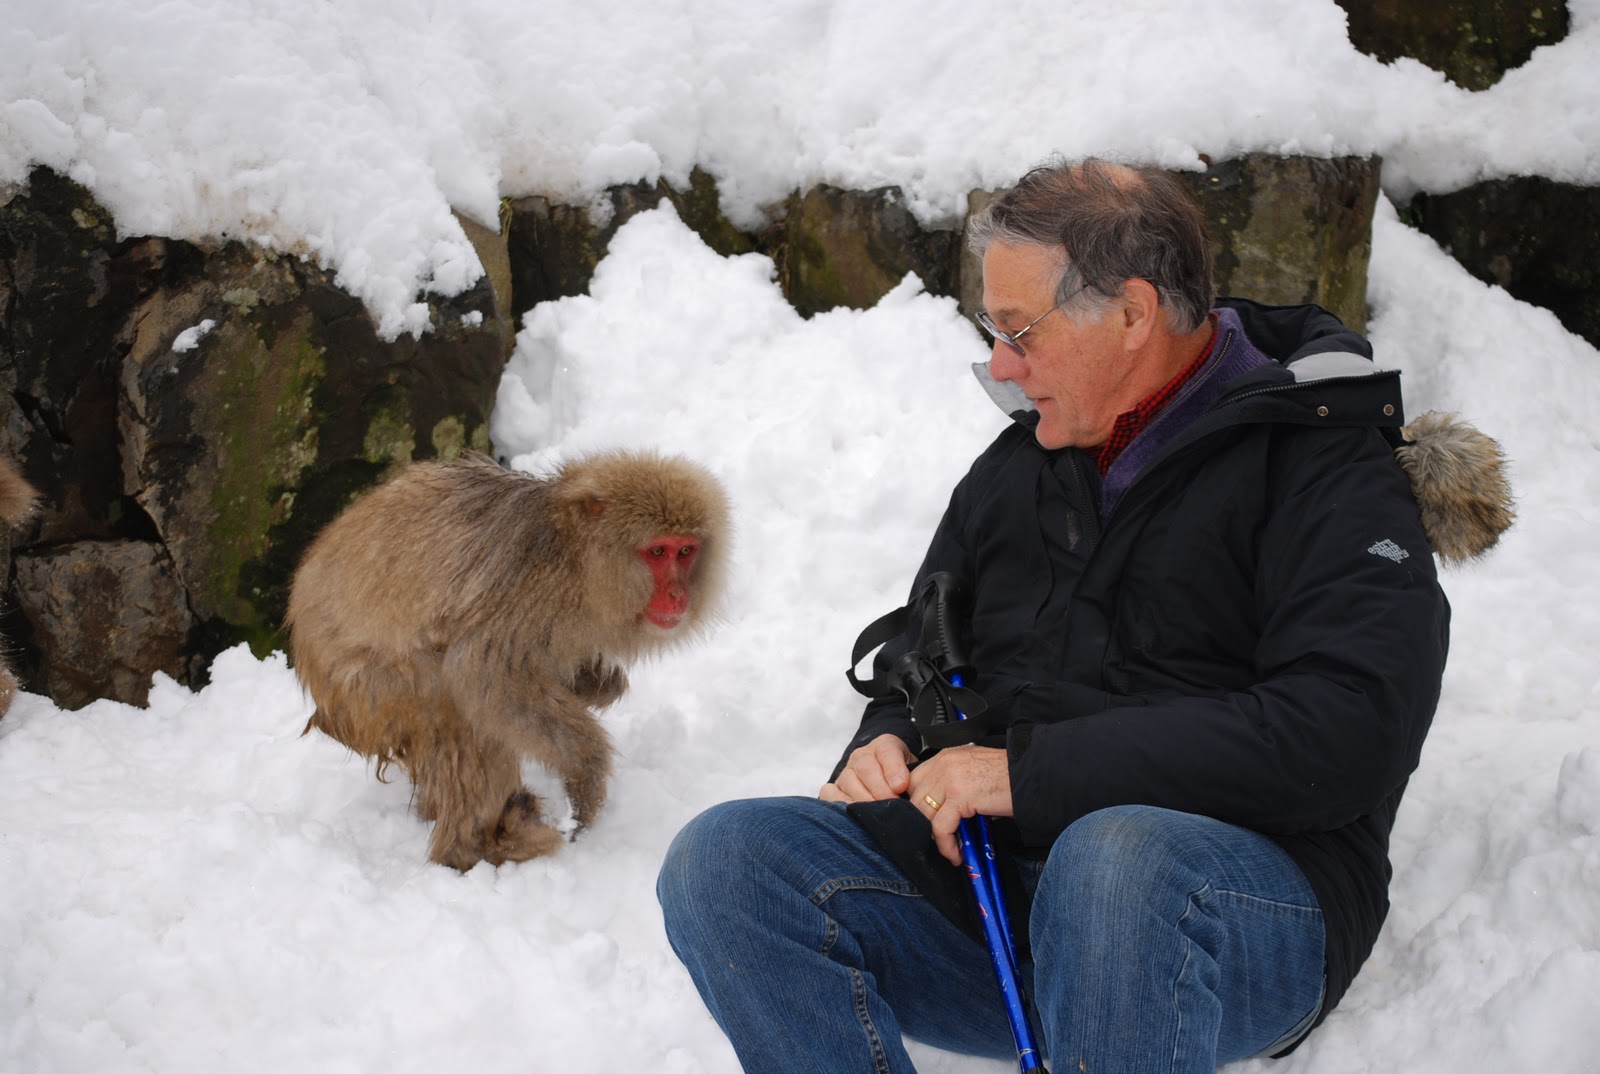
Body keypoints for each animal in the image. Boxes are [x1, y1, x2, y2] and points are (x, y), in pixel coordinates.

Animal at [286, 450, 730, 871]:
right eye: (657, 551)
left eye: (686, 551)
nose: (678, 595)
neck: (576, 554)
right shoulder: (534, 590)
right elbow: (484, 674)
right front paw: (586, 774)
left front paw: (595, 684)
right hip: (364, 687)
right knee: (450, 699)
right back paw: (476, 849)